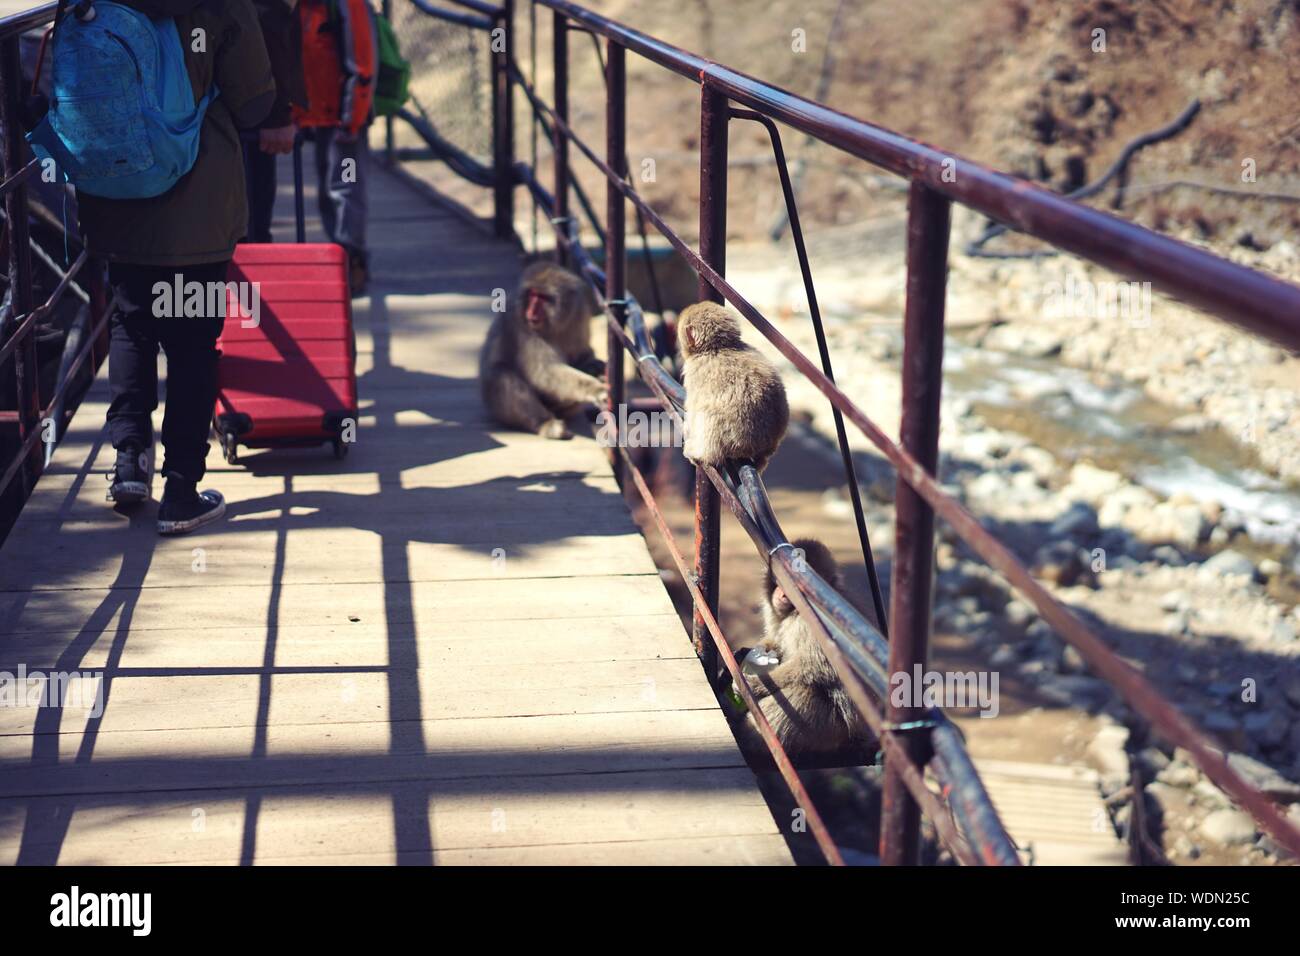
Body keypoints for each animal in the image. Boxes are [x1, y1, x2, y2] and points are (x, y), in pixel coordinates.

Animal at [480, 261, 608, 439]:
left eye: (543, 297)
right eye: (532, 294)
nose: (530, 311)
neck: (554, 324)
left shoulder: (580, 314)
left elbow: (582, 354)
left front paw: (594, 366)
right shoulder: (521, 323)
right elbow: (543, 372)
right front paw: (595, 389)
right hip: (495, 406)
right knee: (501, 375)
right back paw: (546, 424)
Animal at [677, 301, 788, 471]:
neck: (718, 348)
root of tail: (767, 446)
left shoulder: (695, 374)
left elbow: (694, 410)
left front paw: (687, 428)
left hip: (733, 439)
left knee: (710, 416)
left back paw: (700, 454)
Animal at [729, 538, 870, 760]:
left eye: (795, 585)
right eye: (781, 579)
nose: (783, 594)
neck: (795, 611)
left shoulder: (811, 622)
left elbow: (819, 666)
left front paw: (754, 684)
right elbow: (776, 641)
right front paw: (752, 653)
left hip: (832, 731)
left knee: (804, 694)